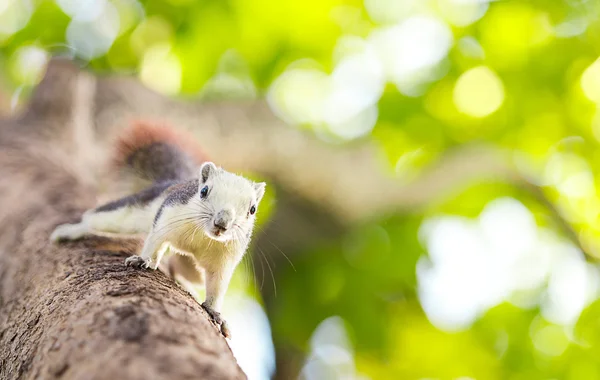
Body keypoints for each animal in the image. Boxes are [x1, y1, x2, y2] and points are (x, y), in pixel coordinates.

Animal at [50, 120, 266, 336]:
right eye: (204, 191)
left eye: (253, 209)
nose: (222, 223)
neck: (203, 236)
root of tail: (172, 182)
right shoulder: (167, 215)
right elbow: (156, 240)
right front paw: (143, 260)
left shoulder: (225, 259)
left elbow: (217, 285)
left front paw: (215, 312)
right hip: (127, 214)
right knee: (96, 218)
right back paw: (70, 230)